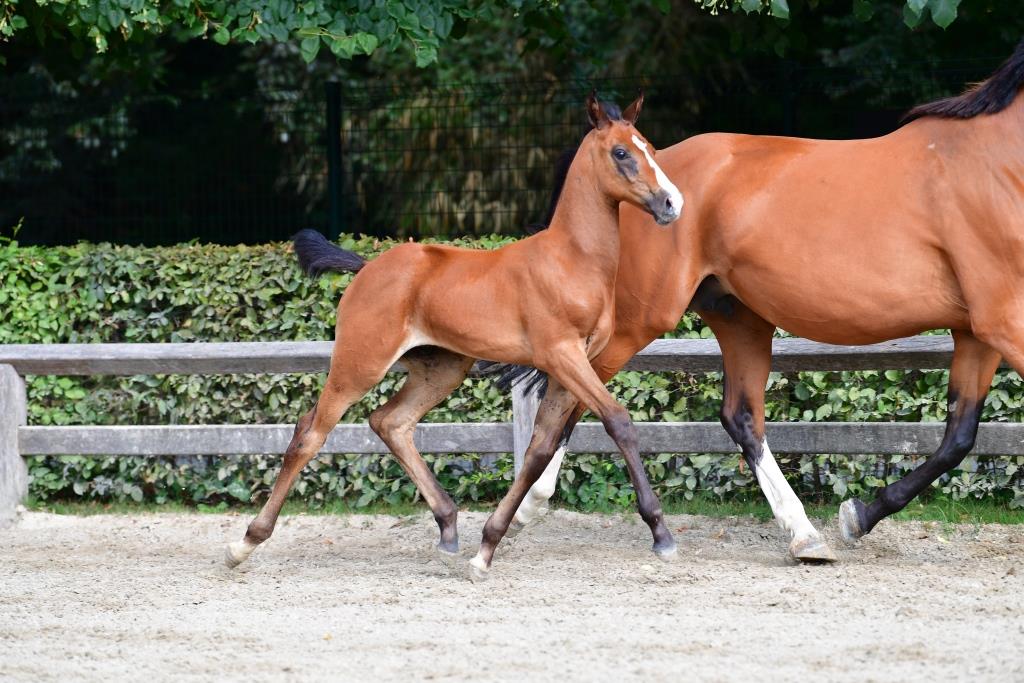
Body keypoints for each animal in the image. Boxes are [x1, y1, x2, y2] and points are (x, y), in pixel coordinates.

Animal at [223, 93, 685, 579]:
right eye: (621, 152)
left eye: (651, 147)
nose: (671, 203)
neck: (571, 260)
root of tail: (367, 267)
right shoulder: (562, 355)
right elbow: (618, 421)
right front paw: (661, 534)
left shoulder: (571, 367)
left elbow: (540, 448)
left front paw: (487, 547)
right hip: (359, 364)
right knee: (310, 433)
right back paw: (245, 543)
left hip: (441, 369)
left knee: (390, 422)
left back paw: (447, 526)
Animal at [479, 40, 1024, 570]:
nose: (670, 203)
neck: (998, 163)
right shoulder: (1003, 323)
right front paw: (856, 516)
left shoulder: (979, 331)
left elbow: (959, 436)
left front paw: (858, 516)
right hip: (636, 322)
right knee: (572, 400)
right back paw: (534, 516)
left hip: (739, 318)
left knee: (738, 416)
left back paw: (805, 536)